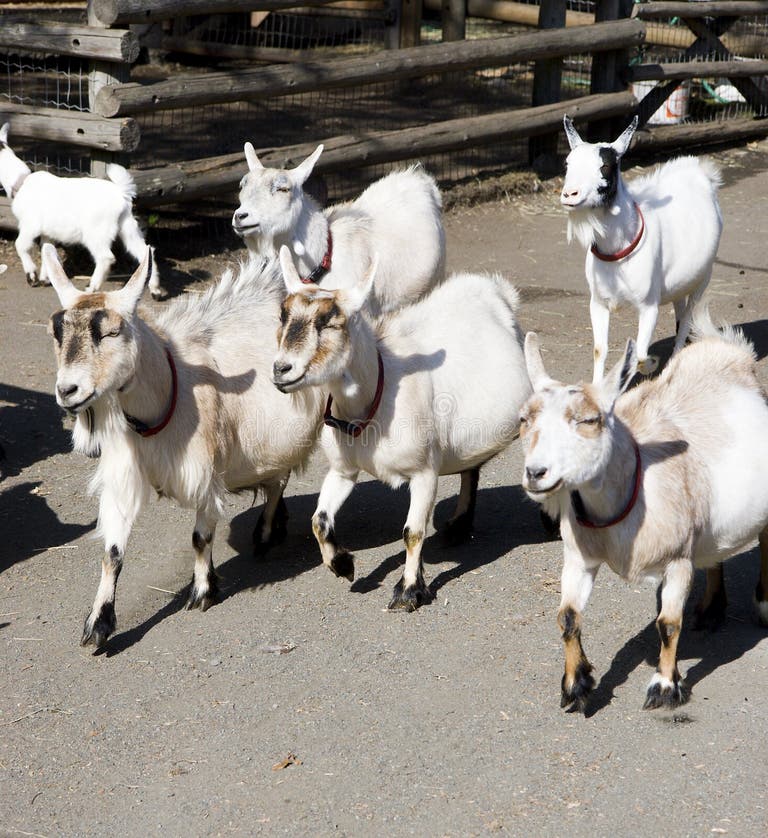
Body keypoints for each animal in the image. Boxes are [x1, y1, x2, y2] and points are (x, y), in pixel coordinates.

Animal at [0, 122, 165, 299]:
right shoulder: (47, 232)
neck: (20, 181)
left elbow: (20, 245)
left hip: (96, 231)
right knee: (146, 251)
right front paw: (46, 278)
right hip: (128, 226)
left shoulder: (30, 225)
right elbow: (46, 251)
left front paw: (32, 276)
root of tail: (121, 193)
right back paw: (155, 290)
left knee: (106, 257)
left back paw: (91, 287)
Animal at [44, 244, 323, 650]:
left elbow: (200, 536)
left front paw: (203, 590)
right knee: (277, 479)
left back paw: (266, 534)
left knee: (281, 481)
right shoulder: (124, 476)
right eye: (57, 333)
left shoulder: (206, 472)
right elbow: (112, 552)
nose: (68, 391)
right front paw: (98, 625)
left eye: (111, 332)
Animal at [272, 246, 532, 610]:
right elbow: (318, 521)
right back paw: (458, 526)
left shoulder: (424, 472)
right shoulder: (343, 470)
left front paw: (409, 591)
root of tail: (496, 289)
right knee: (471, 468)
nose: (281, 369)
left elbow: (413, 532)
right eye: (282, 316)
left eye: (329, 322)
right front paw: (343, 565)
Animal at [519, 320, 768, 712]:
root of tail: (728, 348)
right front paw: (576, 685)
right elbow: (568, 617)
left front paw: (664, 686)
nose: (536, 473)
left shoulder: (678, 559)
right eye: (524, 420)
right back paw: (710, 609)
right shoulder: (578, 558)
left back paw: (764, 605)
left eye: (588, 420)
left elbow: (668, 624)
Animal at [561, 115, 722, 383]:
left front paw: (652, 364)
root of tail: (700, 171)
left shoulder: (648, 306)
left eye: (606, 166)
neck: (617, 252)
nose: (570, 194)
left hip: (704, 278)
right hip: (680, 283)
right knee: (680, 312)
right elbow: (599, 349)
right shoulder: (598, 302)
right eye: (567, 163)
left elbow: (639, 354)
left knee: (687, 320)